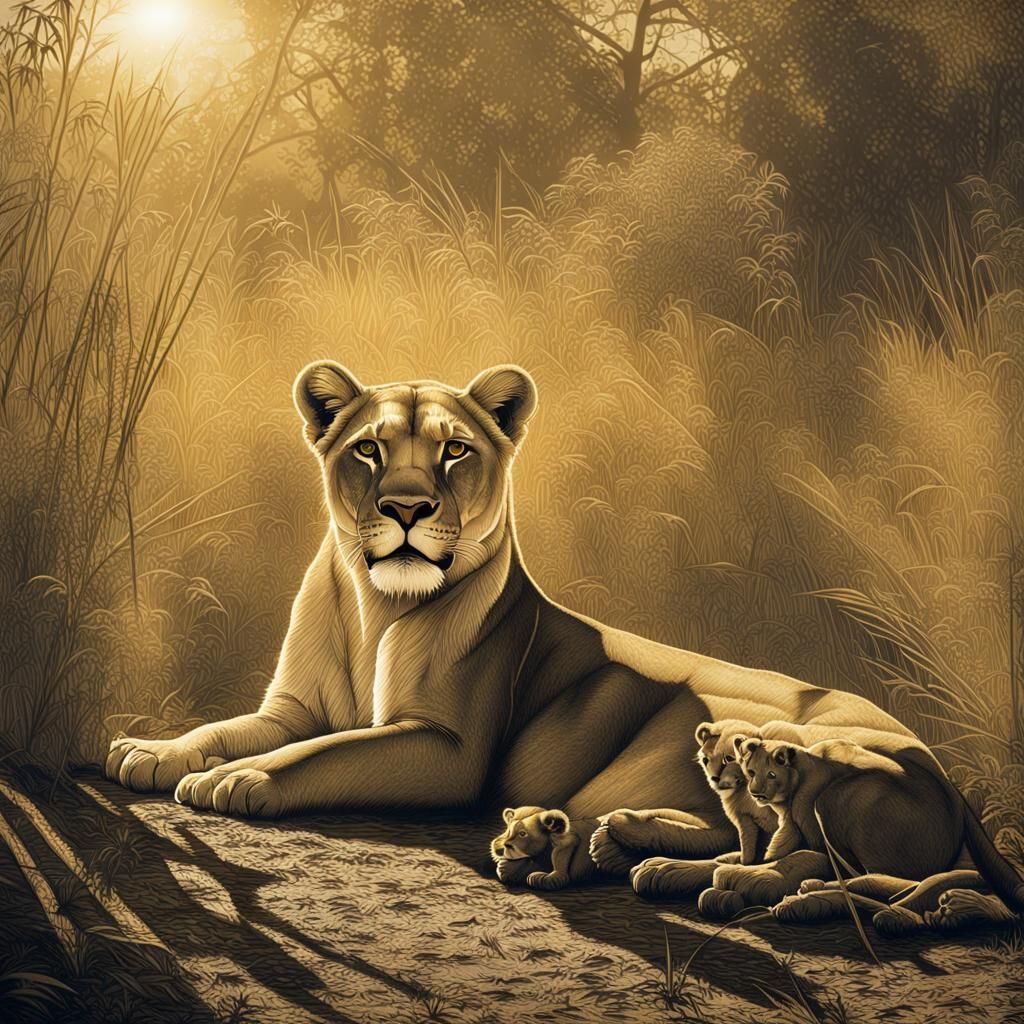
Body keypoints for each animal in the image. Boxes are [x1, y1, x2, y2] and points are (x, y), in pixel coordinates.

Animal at [105, 362, 1024, 923]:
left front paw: (239, 780)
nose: (406, 507)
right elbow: (227, 727)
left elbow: (325, 754)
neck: (376, 609)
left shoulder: (448, 751)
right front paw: (151, 752)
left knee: (804, 854)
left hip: (757, 744)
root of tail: (943, 770)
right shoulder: (291, 706)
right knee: (737, 836)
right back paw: (633, 845)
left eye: (454, 449)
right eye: (367, 448)